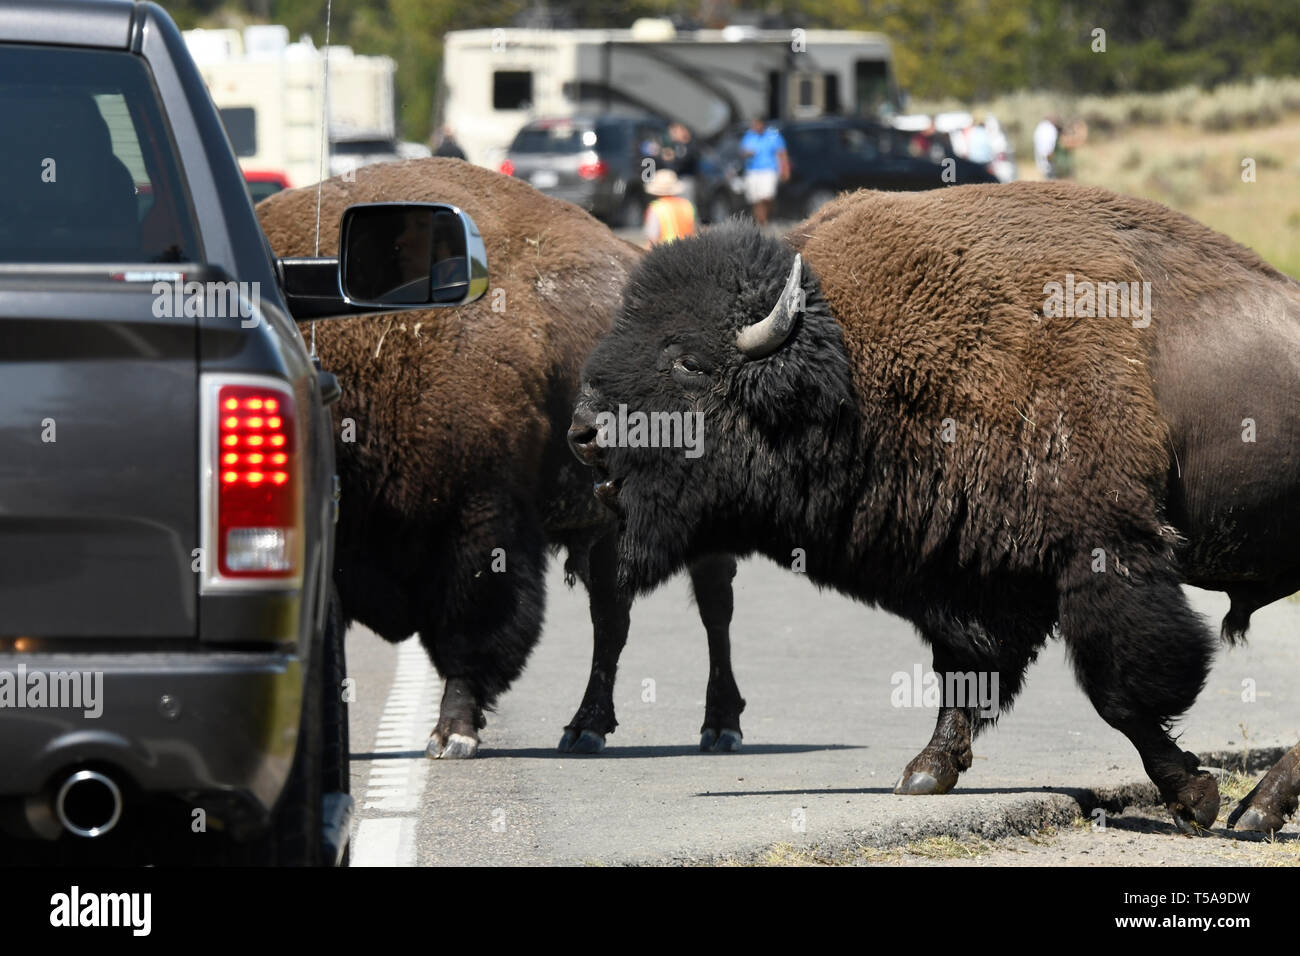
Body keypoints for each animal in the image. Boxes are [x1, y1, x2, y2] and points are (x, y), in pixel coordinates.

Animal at [258, 158, 746, 758]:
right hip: (605, 525)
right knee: (612, 617)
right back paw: (585, 727)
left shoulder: (479, 522)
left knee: (713, 606)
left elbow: (473, 633)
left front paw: (452, 733)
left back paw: (720, 726)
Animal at [570, 182, 1300, 833]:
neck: (846, 359)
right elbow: (966, 671)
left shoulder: (1106, 557)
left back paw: (1254, 812)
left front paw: (1194, 798)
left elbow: (1122, 695)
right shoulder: (969, 573)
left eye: (688, 362)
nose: (583, 432)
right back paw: (1260, 809)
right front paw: (925, 772)